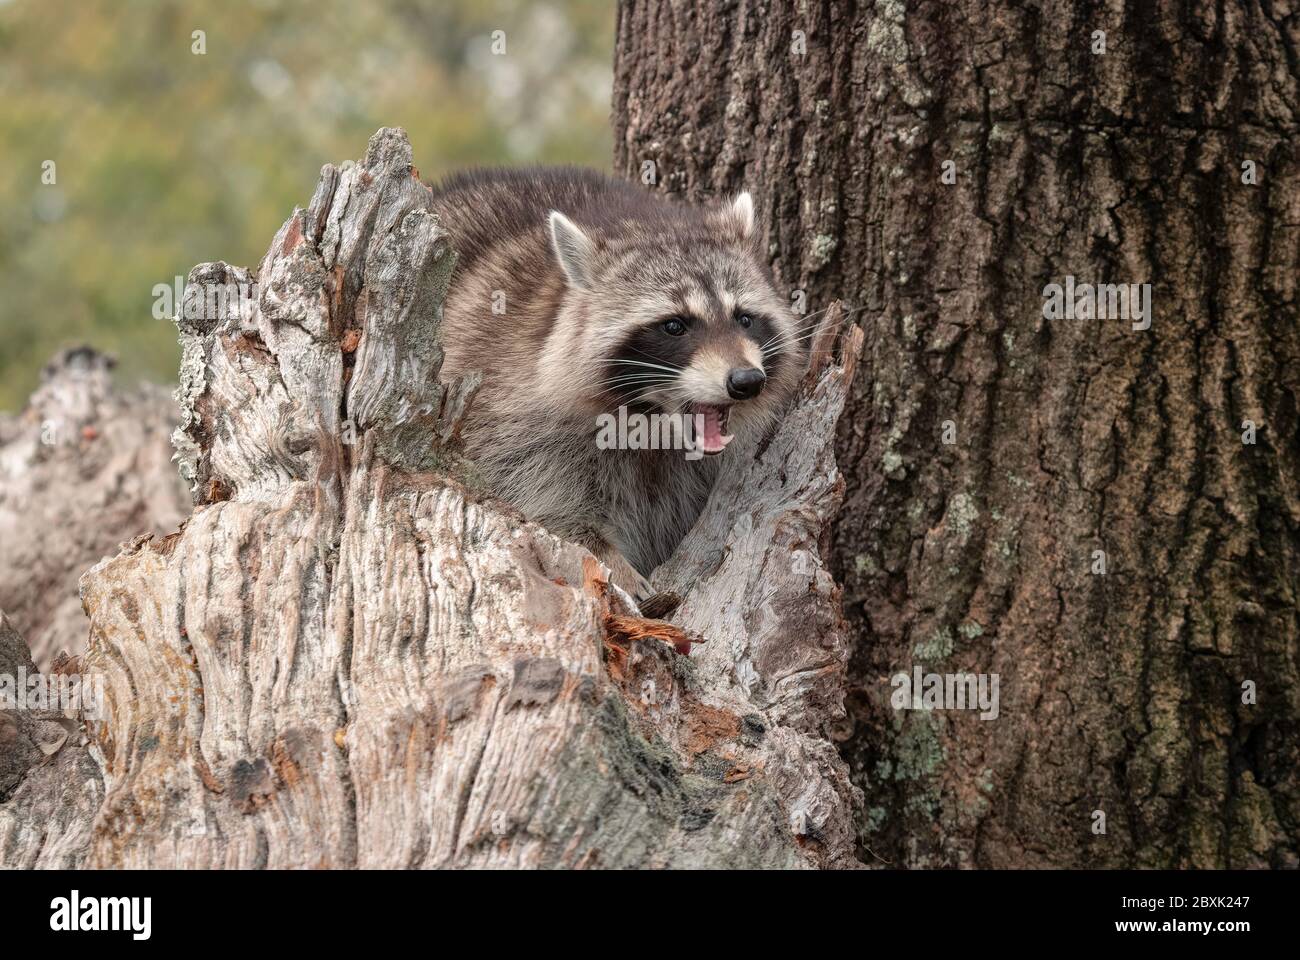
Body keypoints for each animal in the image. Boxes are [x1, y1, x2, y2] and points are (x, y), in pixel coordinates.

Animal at [430, 168, 805, 598]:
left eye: (744, 318)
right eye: (674, 325)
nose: (747, 381)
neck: (655, 426)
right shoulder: (506, 402)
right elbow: (535, 497)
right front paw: (610, 560)